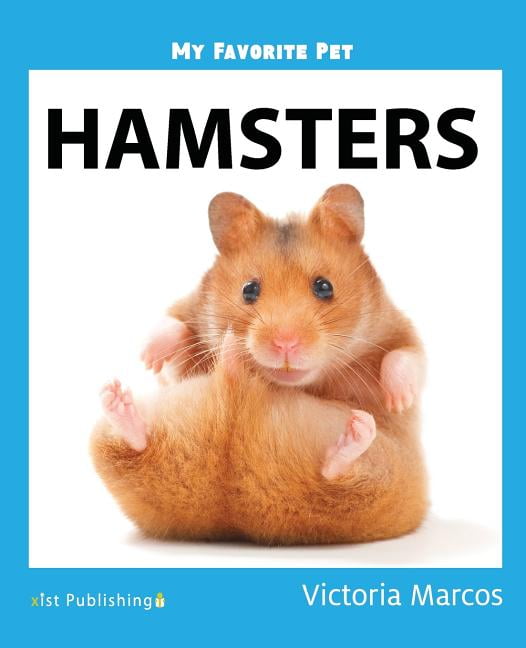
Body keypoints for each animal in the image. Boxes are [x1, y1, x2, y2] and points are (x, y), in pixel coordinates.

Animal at [91, 184, 428, 544]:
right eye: (249, 289)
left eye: (324, 286)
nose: (285, 343)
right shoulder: (187, 330)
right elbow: (173, 331)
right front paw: (148, 358)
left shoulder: (400, 330)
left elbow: (404, 358)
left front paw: (397, 399)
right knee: (135, 445)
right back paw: (119, 398)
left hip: (382, 481)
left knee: (338, 476)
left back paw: (357, 430)